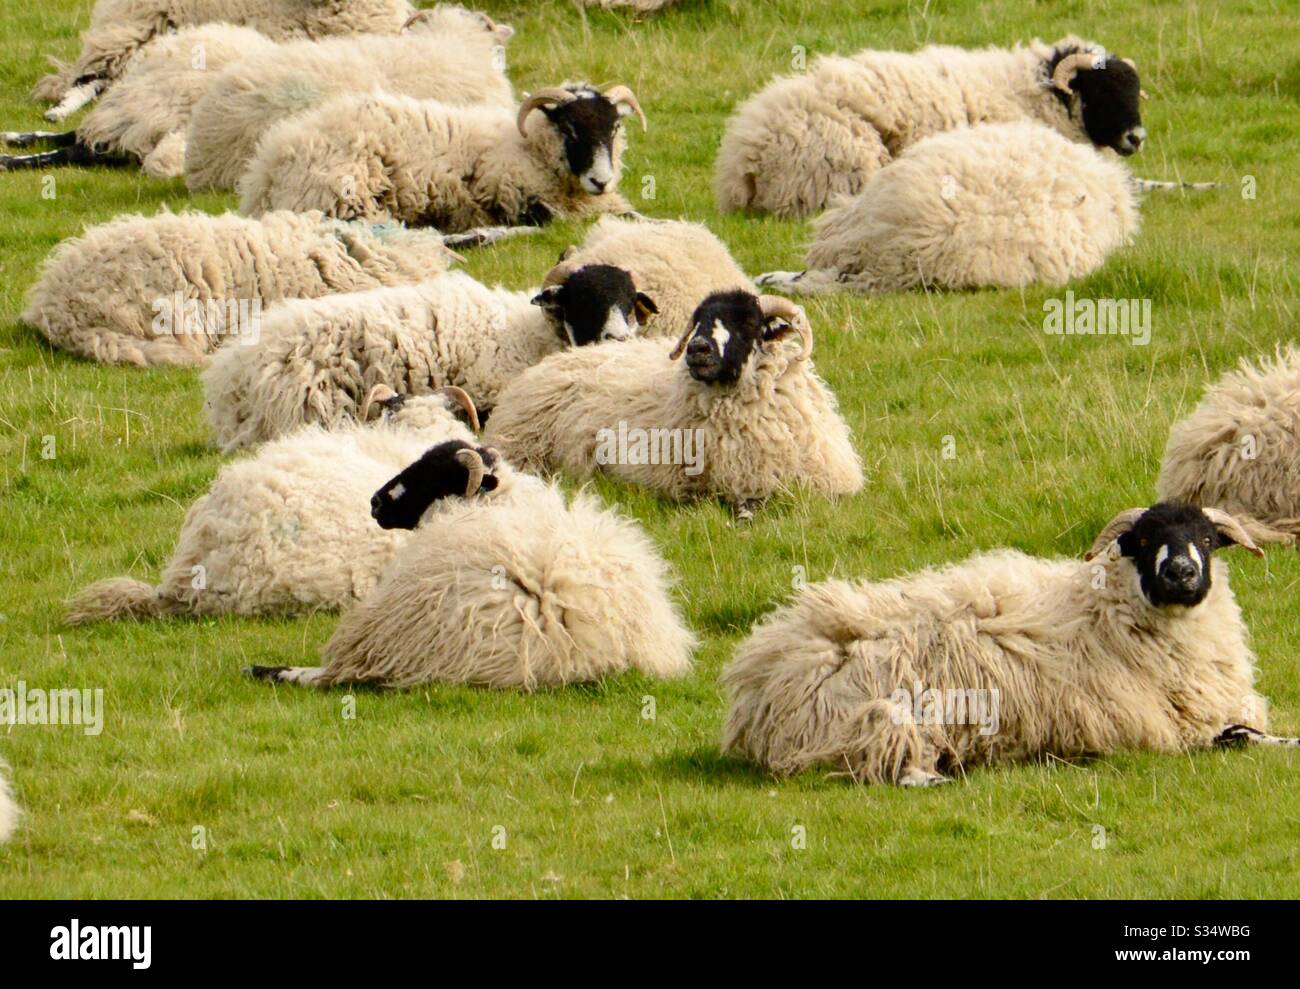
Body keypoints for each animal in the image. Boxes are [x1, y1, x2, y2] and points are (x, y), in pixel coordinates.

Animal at [237, 82, 647, 232]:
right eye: (571, 130)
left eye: (613, 129)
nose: (601, 181)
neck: (526, 148)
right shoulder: (516, 195)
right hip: (346, 192)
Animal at [715, 38, 1147, 219]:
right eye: (1101, 91)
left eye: (1134, 90)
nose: (1136, 139)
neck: (1028, 93)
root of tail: (743, 162)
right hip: (843, 166)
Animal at [720, 502, 1300, 787]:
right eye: (1142, 541)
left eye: (1206, 539)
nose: (1181, 573)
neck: (1106, 612)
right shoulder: (1161, 732)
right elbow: (1241, 737)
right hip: (885, 715)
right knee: (891, 765)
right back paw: (941, 777)